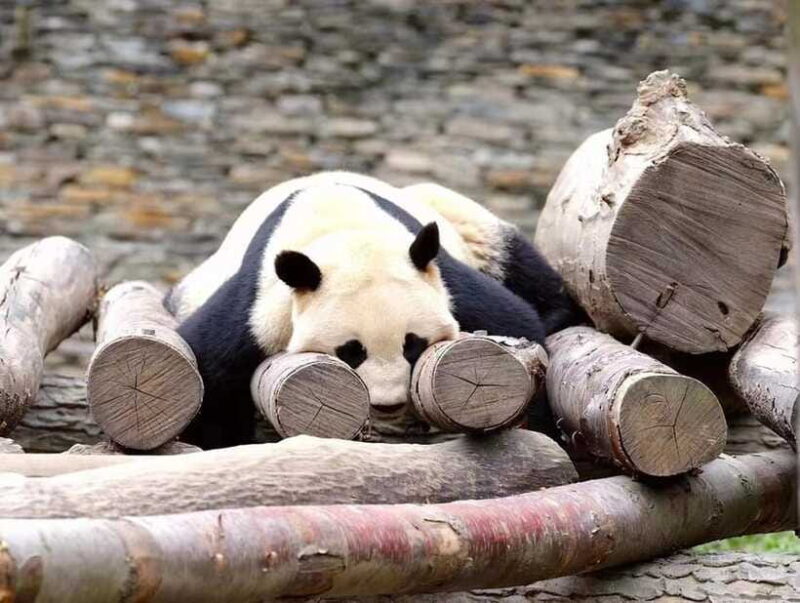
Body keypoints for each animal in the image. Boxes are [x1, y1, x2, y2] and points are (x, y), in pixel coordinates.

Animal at [168, 171, 582, 448]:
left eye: (413, 344)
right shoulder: (260, 307)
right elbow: (210, 368)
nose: (388, 405)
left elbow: (515, 324)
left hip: (457, 217)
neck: (348, 235)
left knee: (509, 253)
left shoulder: (444, 282)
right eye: (351, 352)